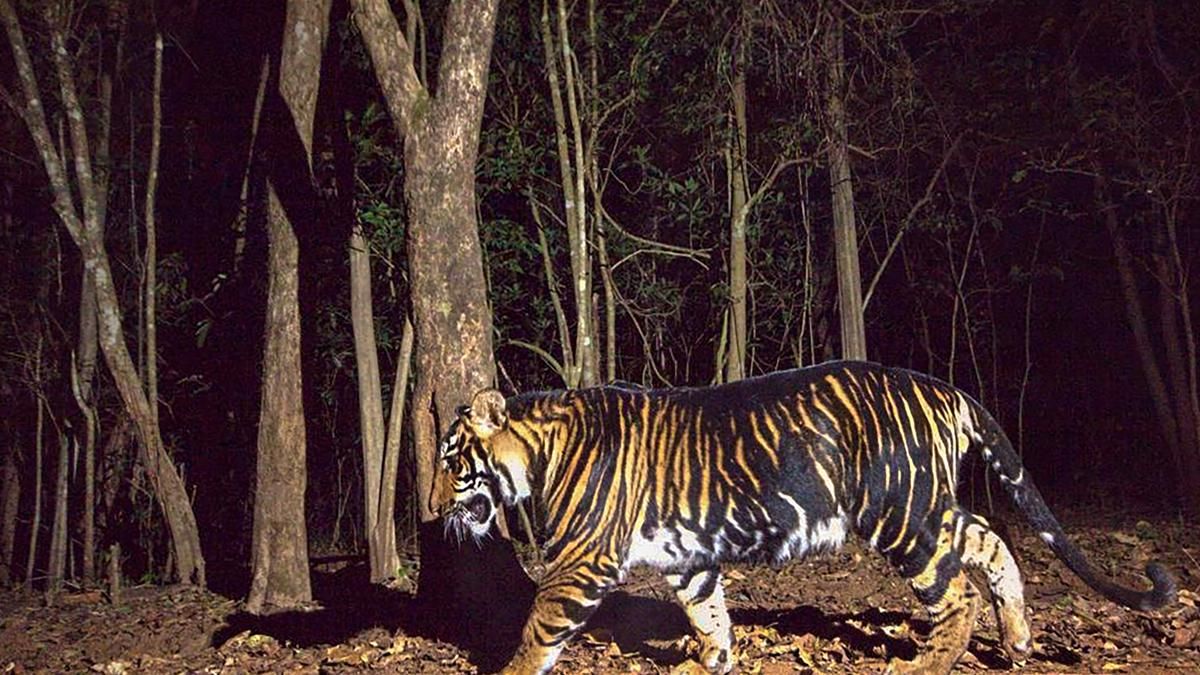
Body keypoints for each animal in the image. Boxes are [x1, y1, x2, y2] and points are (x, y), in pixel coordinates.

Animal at [432, 360, 1176, 675]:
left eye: (451, 460)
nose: (432, 508)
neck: (539, 454)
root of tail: (946, 387)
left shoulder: (579, 563)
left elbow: (537, 631)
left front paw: (511, 672)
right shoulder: (686, 556)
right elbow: (708, 612)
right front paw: (712, 662)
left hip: (900, 515)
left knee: (956, 592)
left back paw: (923, 665)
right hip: (929, 507)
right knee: (993, 544)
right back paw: (1017, 639)